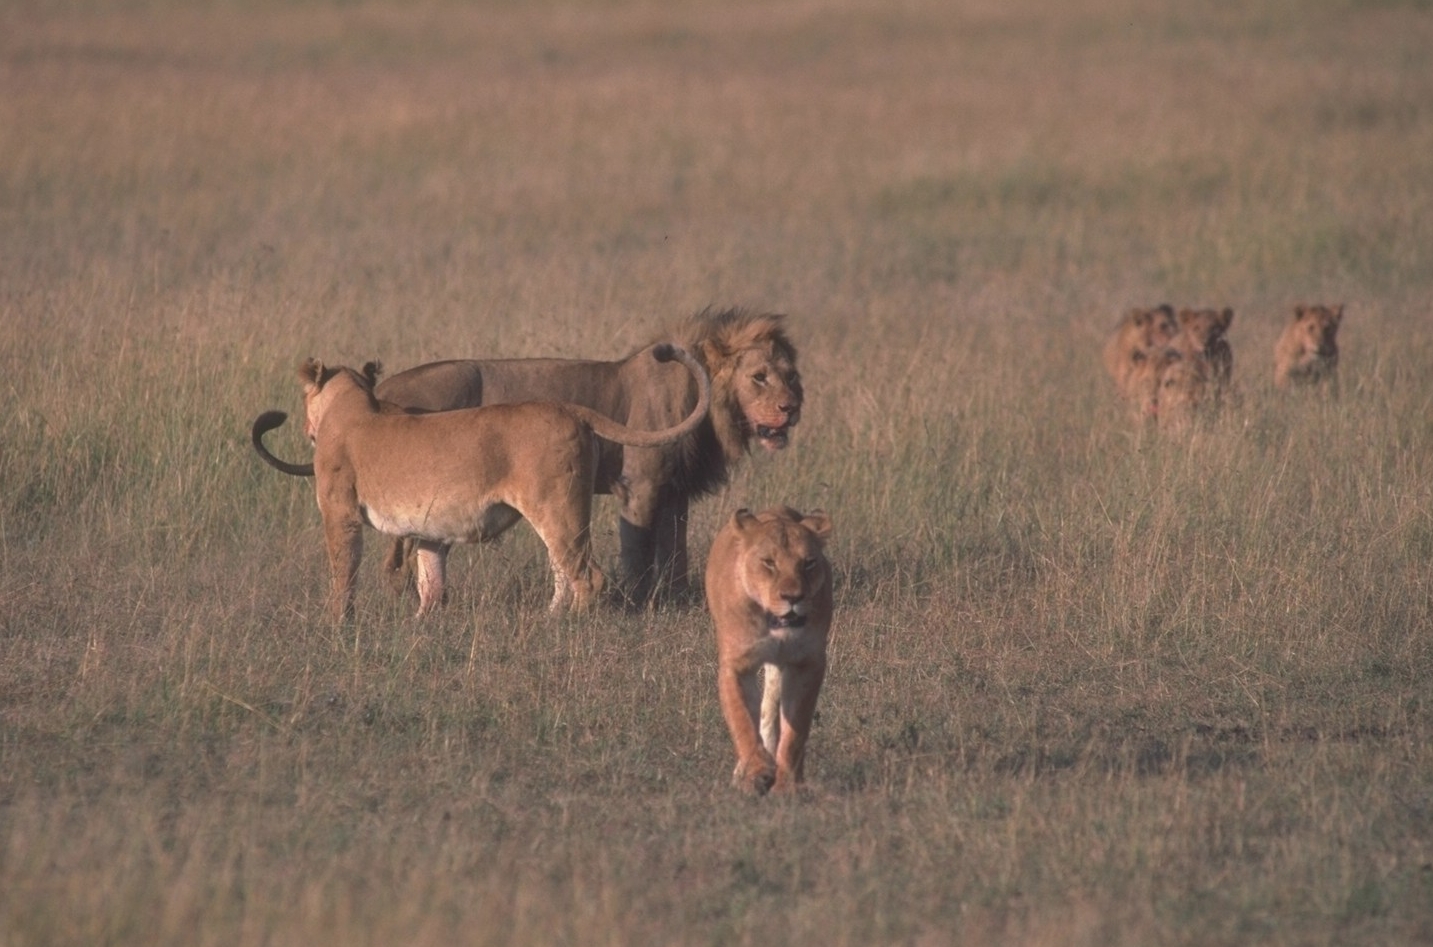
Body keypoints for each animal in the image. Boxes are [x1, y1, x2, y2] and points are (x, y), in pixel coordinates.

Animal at [252, 344, 711, 620]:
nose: (305, 428)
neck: (352, 405)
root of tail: (570, 408)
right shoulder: (429, 527)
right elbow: (431, 580)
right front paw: (421, 624)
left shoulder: (340, 512)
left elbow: (342, 570)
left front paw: (337, 623)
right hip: (559, 513)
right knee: (563, 570)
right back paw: (549, 618)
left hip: (556, 507)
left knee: (587, 575)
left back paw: (568, 628)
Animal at [705, 506, 833, 796]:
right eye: (769, 562)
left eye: (808, 563)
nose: (793, 597)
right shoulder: (737, 665)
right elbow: (742, 720)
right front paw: (757, 772)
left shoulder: (806, 663)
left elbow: (795, 731)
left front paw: (786, 784)